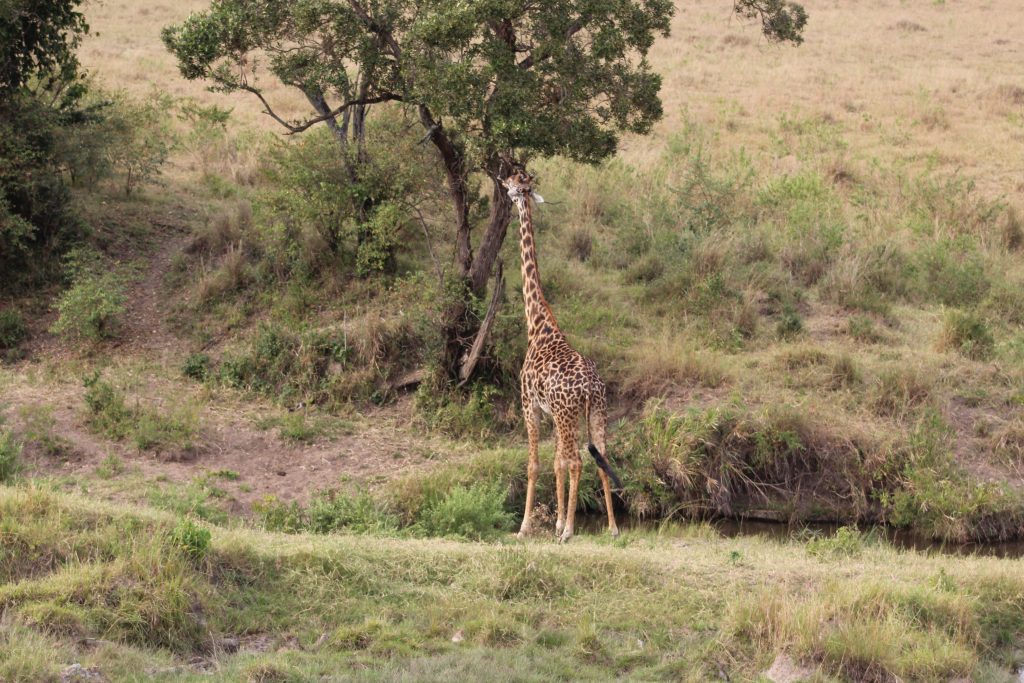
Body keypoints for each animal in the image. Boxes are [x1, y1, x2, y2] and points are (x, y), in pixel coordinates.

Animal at [503, 171, 621, 543]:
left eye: (516, 185)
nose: (503, 185)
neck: (537, 324)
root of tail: (589, 387)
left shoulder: (529, 404)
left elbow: (534, 464)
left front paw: (526, 527)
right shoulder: (551, 412)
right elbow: (555, 462)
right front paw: (554, 521)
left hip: (569, 414)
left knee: (578, 461)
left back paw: (569, 531)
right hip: (595, 411)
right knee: (599, 458)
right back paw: (612, 527)